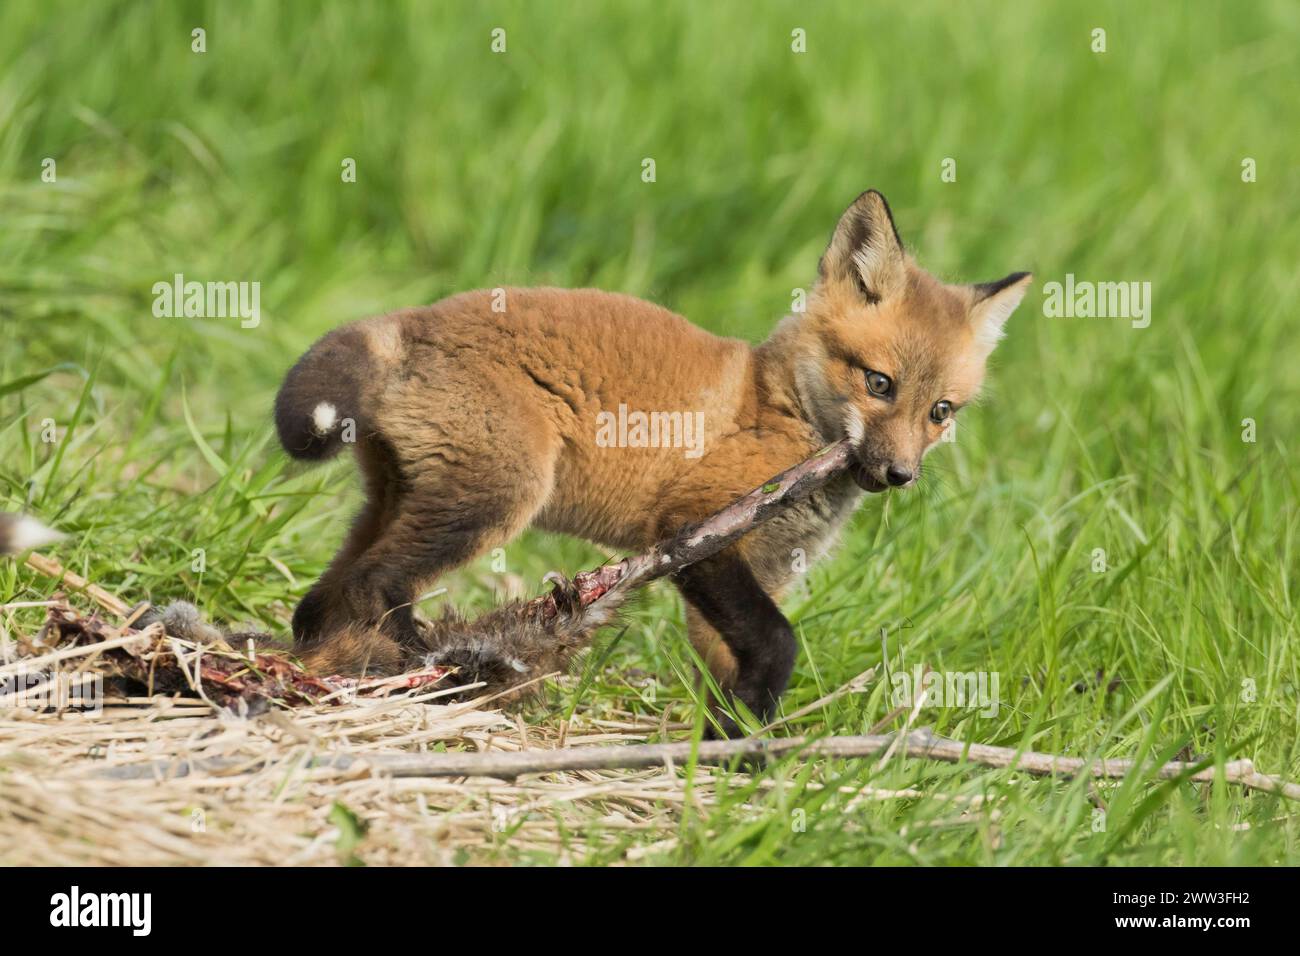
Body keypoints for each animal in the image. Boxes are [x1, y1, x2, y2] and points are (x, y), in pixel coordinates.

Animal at [274, 190, 1031, 735]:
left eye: (942, 412)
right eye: (879, 383)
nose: (899, 475)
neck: (779, 407)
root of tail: (413, 319)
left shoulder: (759, 573)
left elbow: (731, 669)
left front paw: (731, 747)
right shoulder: (696, 527)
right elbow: (779, 642)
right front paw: (742, 745)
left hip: (397, 500)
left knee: (321, 600)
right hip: (495, 499)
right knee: (374, 584)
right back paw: (429, 663)